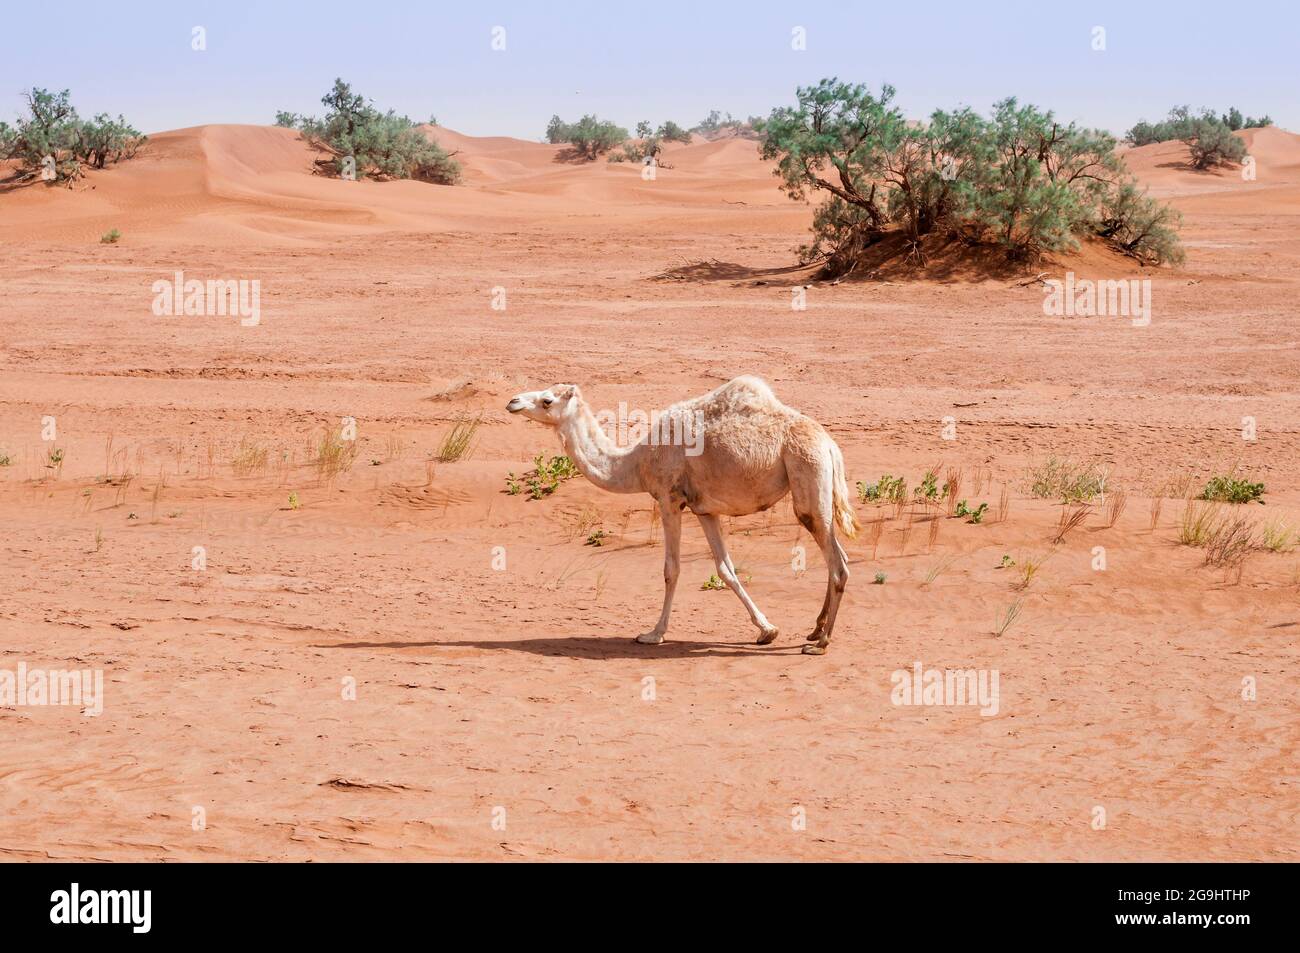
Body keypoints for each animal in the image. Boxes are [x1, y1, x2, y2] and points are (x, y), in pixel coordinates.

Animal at [506, 376, 859, 654]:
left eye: (548, 400)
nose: (513, 401)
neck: (637, 461)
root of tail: (830, 445)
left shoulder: (669, 499)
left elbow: (671, 570)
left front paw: (653, 634)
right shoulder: (705, 510)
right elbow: (726, 569)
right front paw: (766, 630)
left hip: (807, 471)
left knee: (837, 563)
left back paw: (821, 643)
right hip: (815, 480)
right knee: (837, 555)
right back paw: (814, 629)